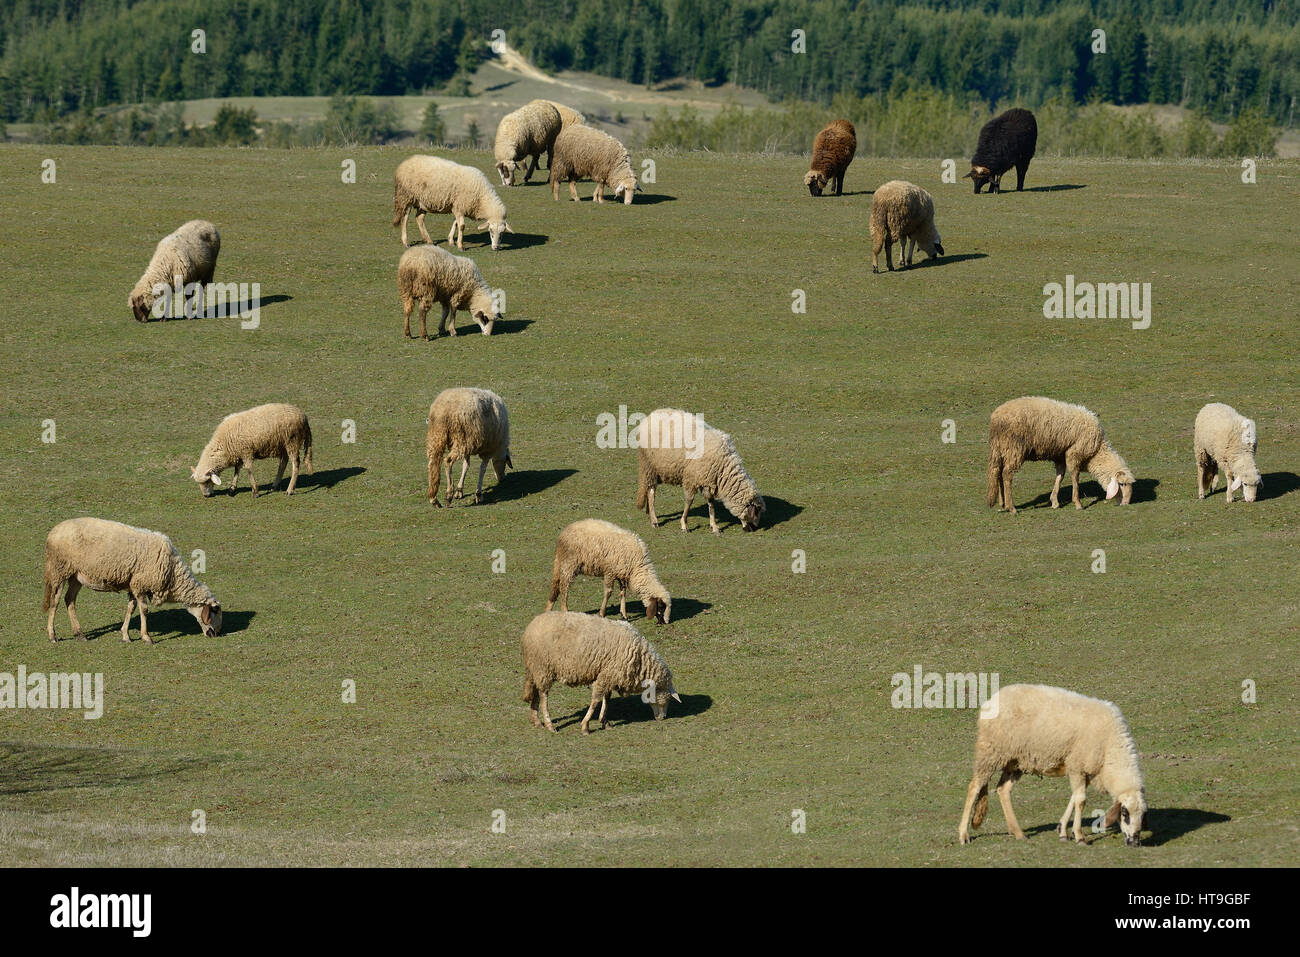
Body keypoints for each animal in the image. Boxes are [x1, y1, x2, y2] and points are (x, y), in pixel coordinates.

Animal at [43, 517, 222, 644]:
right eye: (214, 611)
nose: (217, 634)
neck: (173, 573)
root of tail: (53, 532)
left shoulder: (133, 584)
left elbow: (131, 608)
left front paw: (125, 635)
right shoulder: (140, 584)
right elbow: (144, 610)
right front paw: (146, 637)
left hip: (76, 576)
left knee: (69, 600)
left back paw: (79, 634)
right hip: (59, 569)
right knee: (55, 601)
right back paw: (52, 635)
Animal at [521, 611, 680, 734]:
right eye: (667, 698)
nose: (663, 718)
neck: (640, 660)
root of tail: (531, 627)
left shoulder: (608, 674)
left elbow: (606, 698)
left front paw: (604, 721)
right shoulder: (607, 675)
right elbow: (596, 700)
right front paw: (586, 726)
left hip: (535, 668)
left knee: (536, 691)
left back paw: (536, 720)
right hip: (543, 668)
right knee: (543, 695)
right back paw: (549, 724)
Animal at [635, 408, 765, 534]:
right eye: (756, 511)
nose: (753, 529)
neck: (723, 469)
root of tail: (650, 416)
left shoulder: (708, 480)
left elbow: (711, 504)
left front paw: (714, 526)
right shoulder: (691, 478)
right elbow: (689, 501)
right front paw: (684, 525)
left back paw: (648, 512)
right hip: (649, 466)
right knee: (651, 492)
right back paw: (654, 520)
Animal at [958, 684, 1148, 846]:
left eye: (1142, 815)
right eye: (1124, 813)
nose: (1135, 842)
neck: (1111, 751)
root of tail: (992, 699)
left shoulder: (1083, 769)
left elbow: (1074, 798)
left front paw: (1063, 830)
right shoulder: (1077, 765)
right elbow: (1081, 801)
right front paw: (1079, 836)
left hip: (1015, 760)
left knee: (1002, 790)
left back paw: (1018, 832)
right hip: (990, 751)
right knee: (974, 787)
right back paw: (963, 835)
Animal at [986, 396, 1134, 515]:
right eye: (1122, 484)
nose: (1126, 504)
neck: (1097, 451)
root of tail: (996, 417)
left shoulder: (1060, 456)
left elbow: (1060, 476)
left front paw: (1054, 502)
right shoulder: (1074, 452)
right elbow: (1075, 476)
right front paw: (1078, 503)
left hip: (1000, 449)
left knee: (998, 472)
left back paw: (1003, 504)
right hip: (1014, 448)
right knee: (1007, 474)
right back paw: (1012, 507)